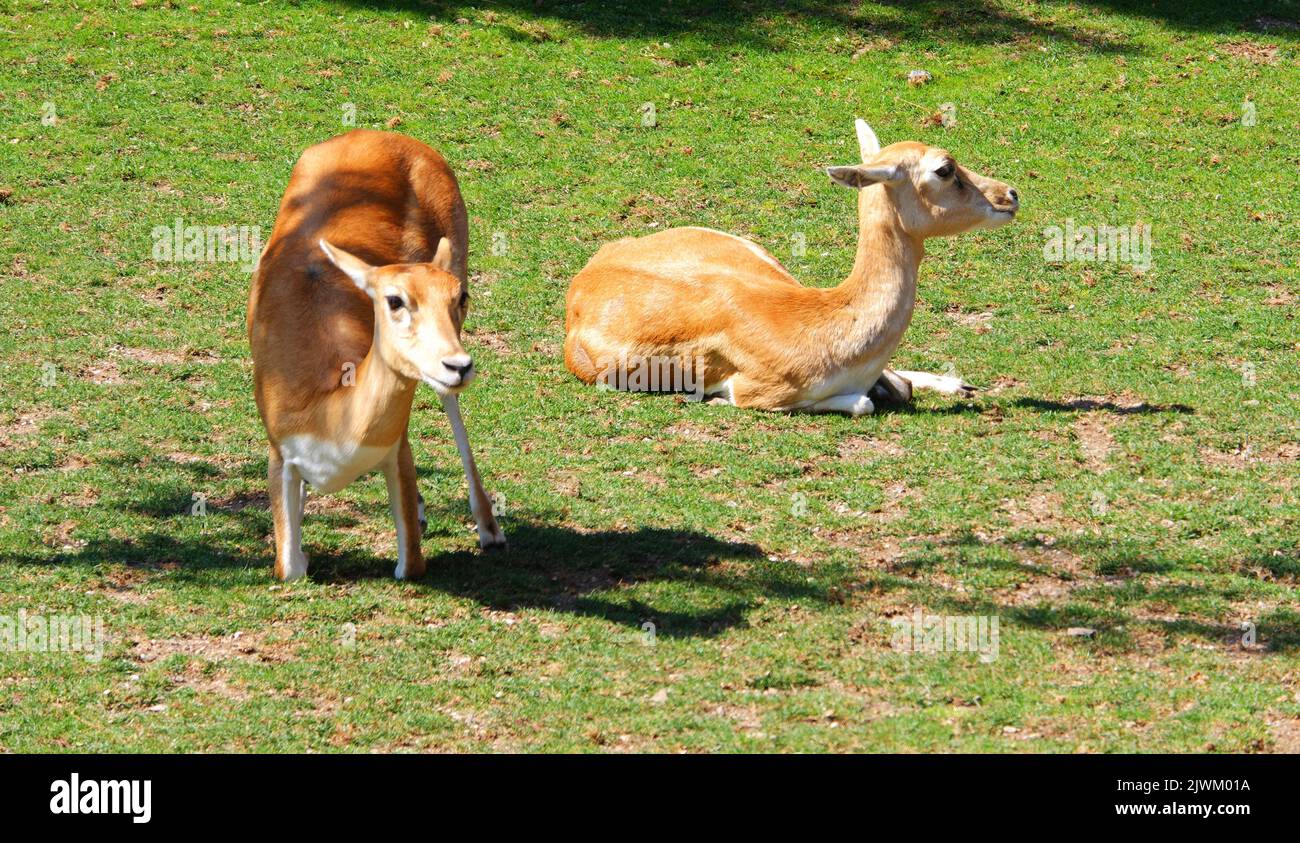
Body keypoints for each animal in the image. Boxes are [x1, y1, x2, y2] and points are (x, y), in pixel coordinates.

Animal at [248, 129, 505, 582]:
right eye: (394, 299)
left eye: (460, 297)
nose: (460, 366)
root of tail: (384, 135)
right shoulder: (279, 453)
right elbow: (290, 567)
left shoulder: (396, 450)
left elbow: (412, 565)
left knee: (448, 401)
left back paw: (489, 529)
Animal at [564, 120, 1019, 415]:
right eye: (944, 169)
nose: (1011, 194)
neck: (829, 326)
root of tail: (587, 274)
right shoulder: (755, 390)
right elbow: (865, 402)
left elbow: (897, 387)